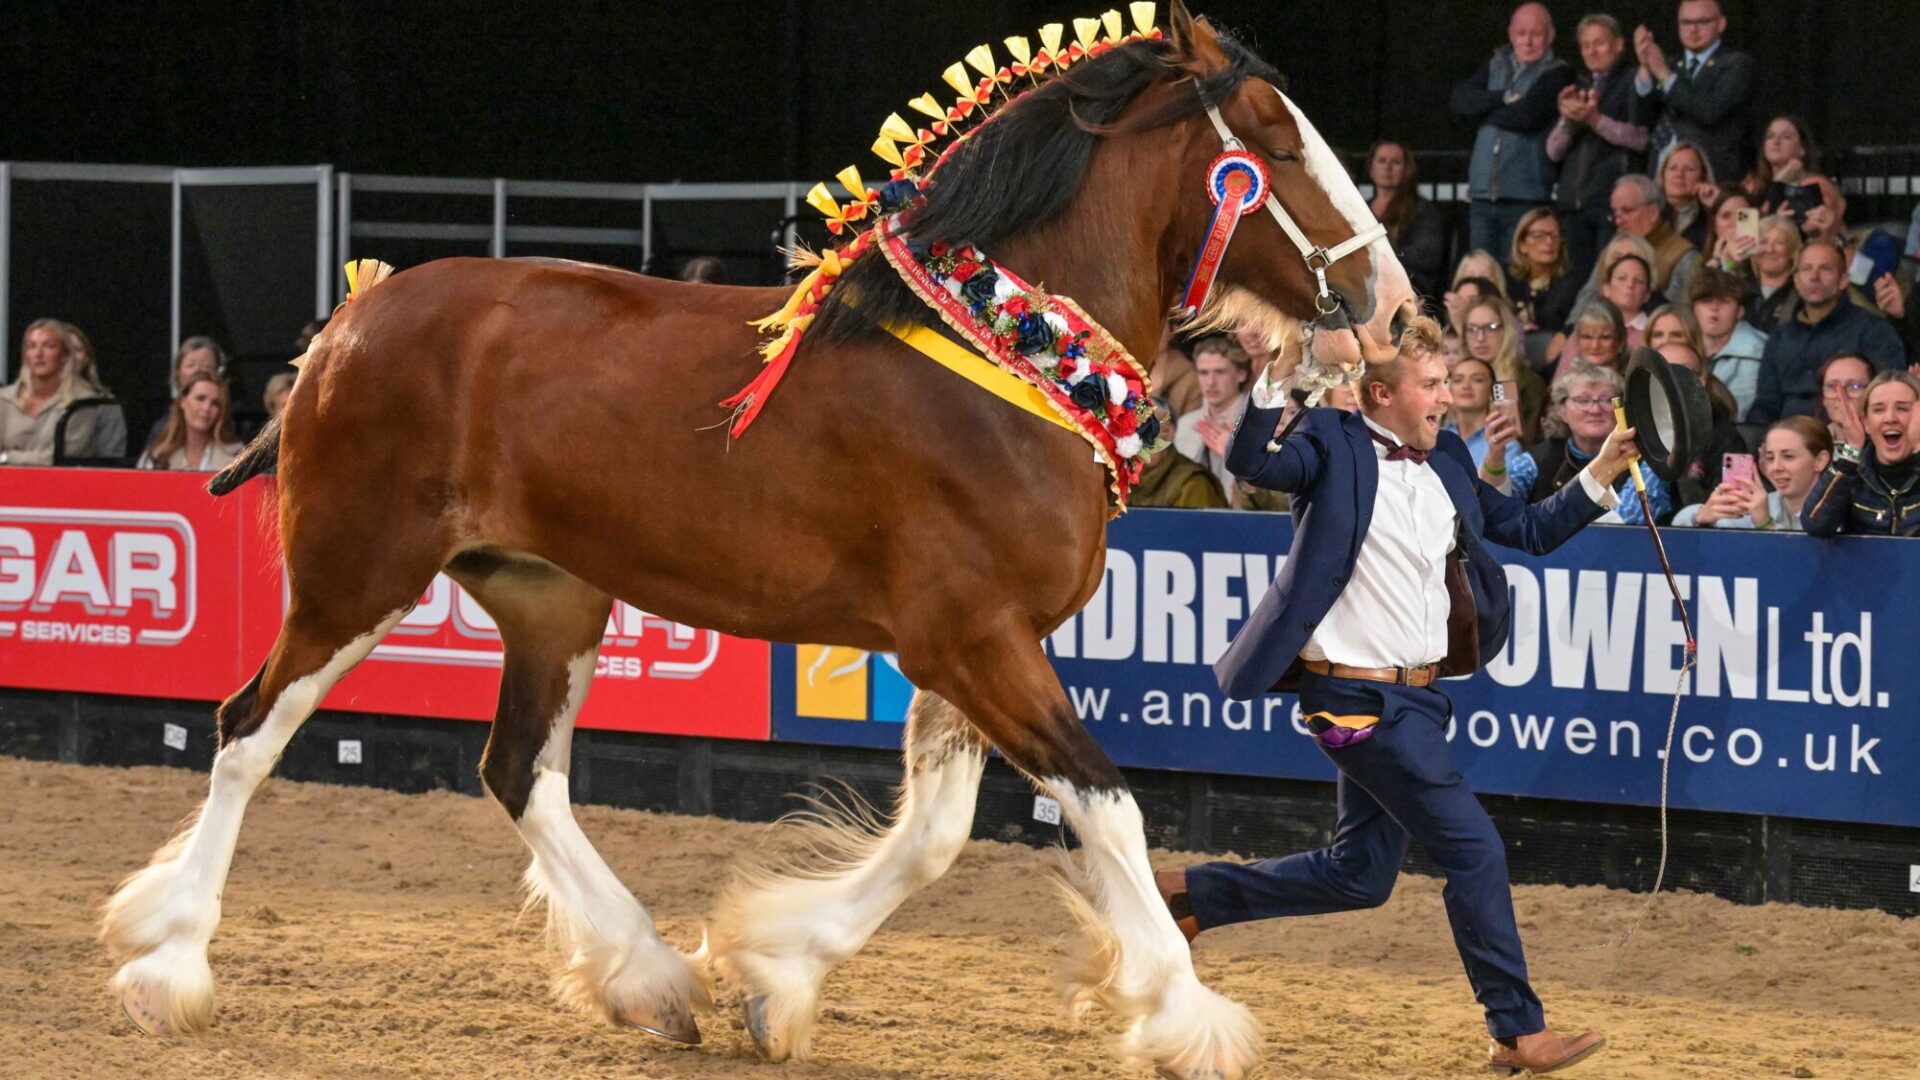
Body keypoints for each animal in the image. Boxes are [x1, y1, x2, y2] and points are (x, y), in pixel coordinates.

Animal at [98, 8, 1415, 1078]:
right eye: (1275, 146)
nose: (1395, 307)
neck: (1008, 360)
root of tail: (348, 320)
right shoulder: (973, 640)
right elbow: (1106, 807)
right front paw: (1191, 1019)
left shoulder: (972, 649)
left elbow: (936, 837)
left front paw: (776, 978)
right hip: (356, 572)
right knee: (246, 733)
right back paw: (168, 969)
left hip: (548, 599)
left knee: (518, 769)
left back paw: (650, 980)